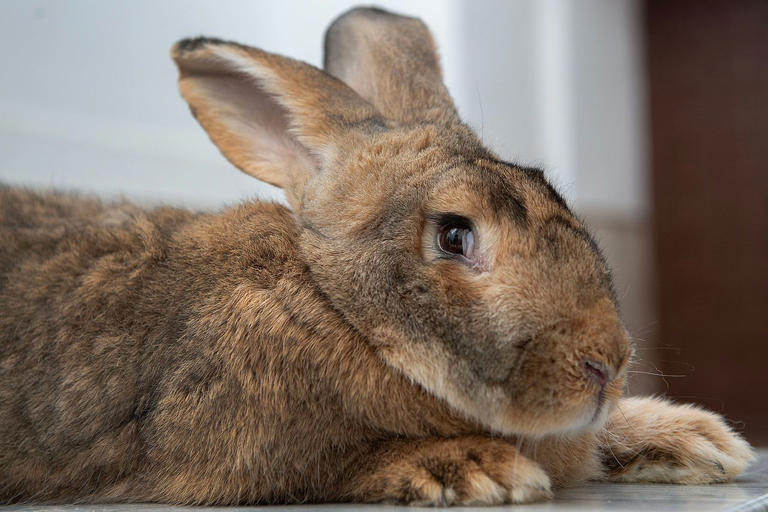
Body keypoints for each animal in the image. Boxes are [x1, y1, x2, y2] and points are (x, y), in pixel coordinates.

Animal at [0, 6, 754, 506]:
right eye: (454, 235)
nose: (607, 365)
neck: (337, 310)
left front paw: (701, 440)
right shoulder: (208, 459)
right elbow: (329, 468)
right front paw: (474, 468)